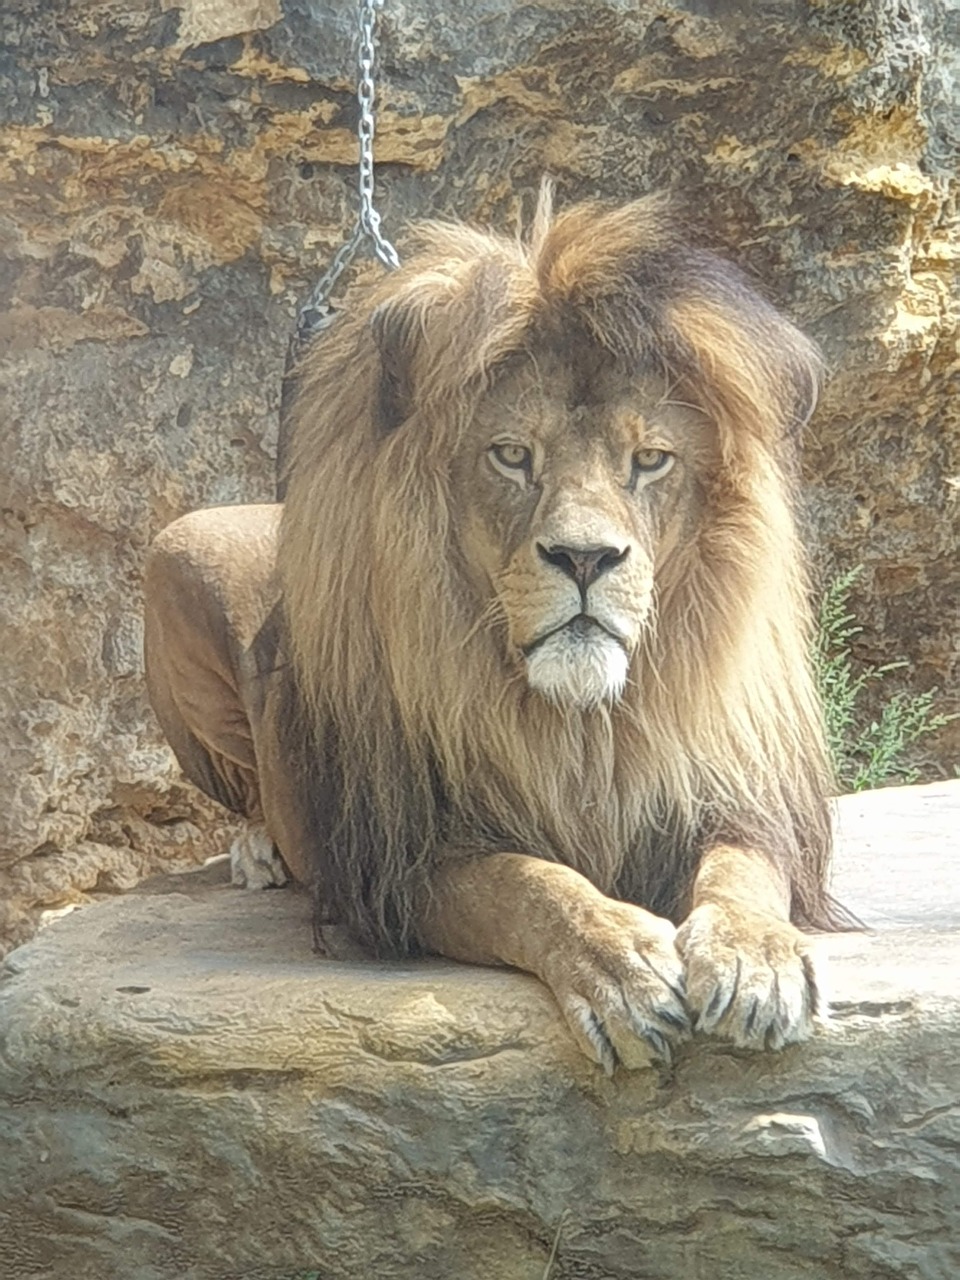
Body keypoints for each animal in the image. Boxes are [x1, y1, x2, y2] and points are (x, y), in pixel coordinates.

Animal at [144, 191, 847, 1073]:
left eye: (651, 459)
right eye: (512, 455)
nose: (585, 557)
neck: (582, 727)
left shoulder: (736, 789)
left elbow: (744, 870)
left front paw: (759, 960)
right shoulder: (402, 866)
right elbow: (527, 884)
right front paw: (619, 964)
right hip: (176, 549)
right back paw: (258, 848)